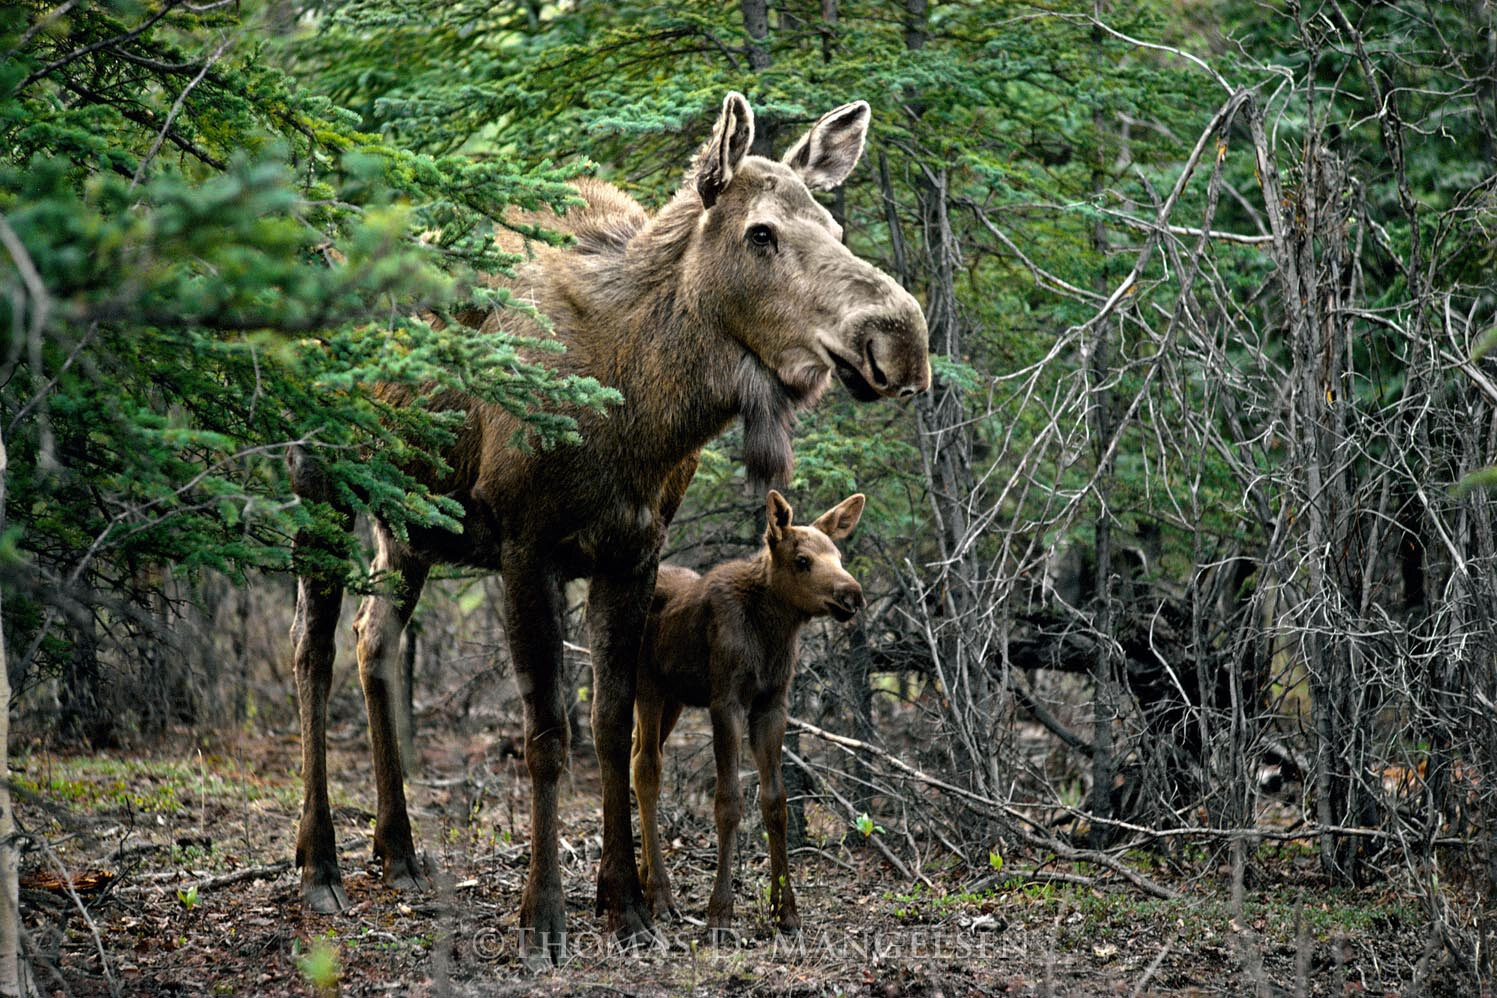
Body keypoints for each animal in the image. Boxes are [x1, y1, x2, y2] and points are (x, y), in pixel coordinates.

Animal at [633, 489, 866, 939]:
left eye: (839, 555)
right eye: (802, 560)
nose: (852, 594)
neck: (774, 633)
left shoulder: (772, 704)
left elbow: (775, 801)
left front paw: (785, 910)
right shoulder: (727, 700)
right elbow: (728, 801)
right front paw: (720, 913)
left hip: (674, 698)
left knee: (635, 758)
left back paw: (640, 879)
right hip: (646, 686)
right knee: (647, 769)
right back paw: (661, 895)